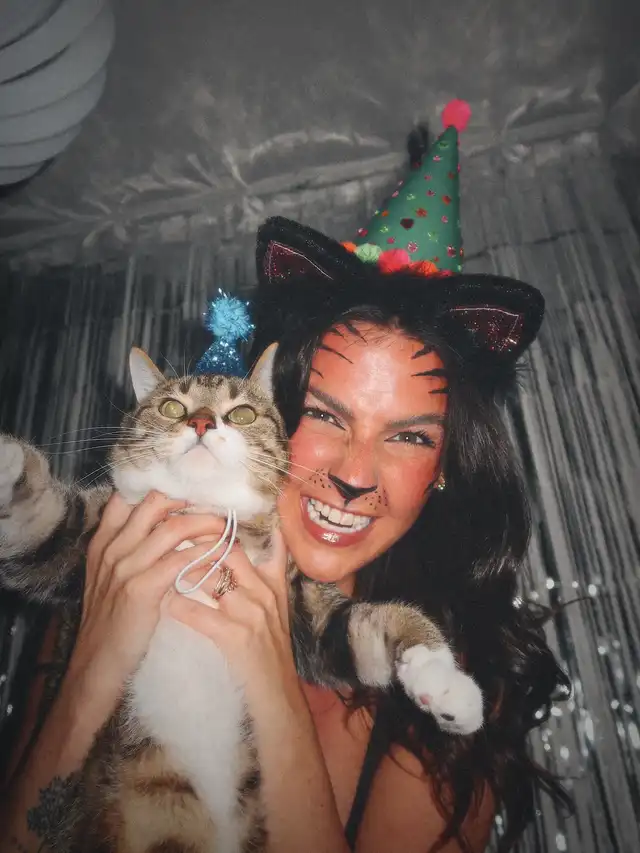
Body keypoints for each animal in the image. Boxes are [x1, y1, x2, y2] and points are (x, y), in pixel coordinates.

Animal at [0, 344, 484, 853]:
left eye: (242, 413)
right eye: (171, 406)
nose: (201, 422)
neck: (205, 513)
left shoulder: (299, 607)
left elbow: (367, 626)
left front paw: (446, 682)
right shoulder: (85, 539)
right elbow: (40, 525)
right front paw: (9, 458)